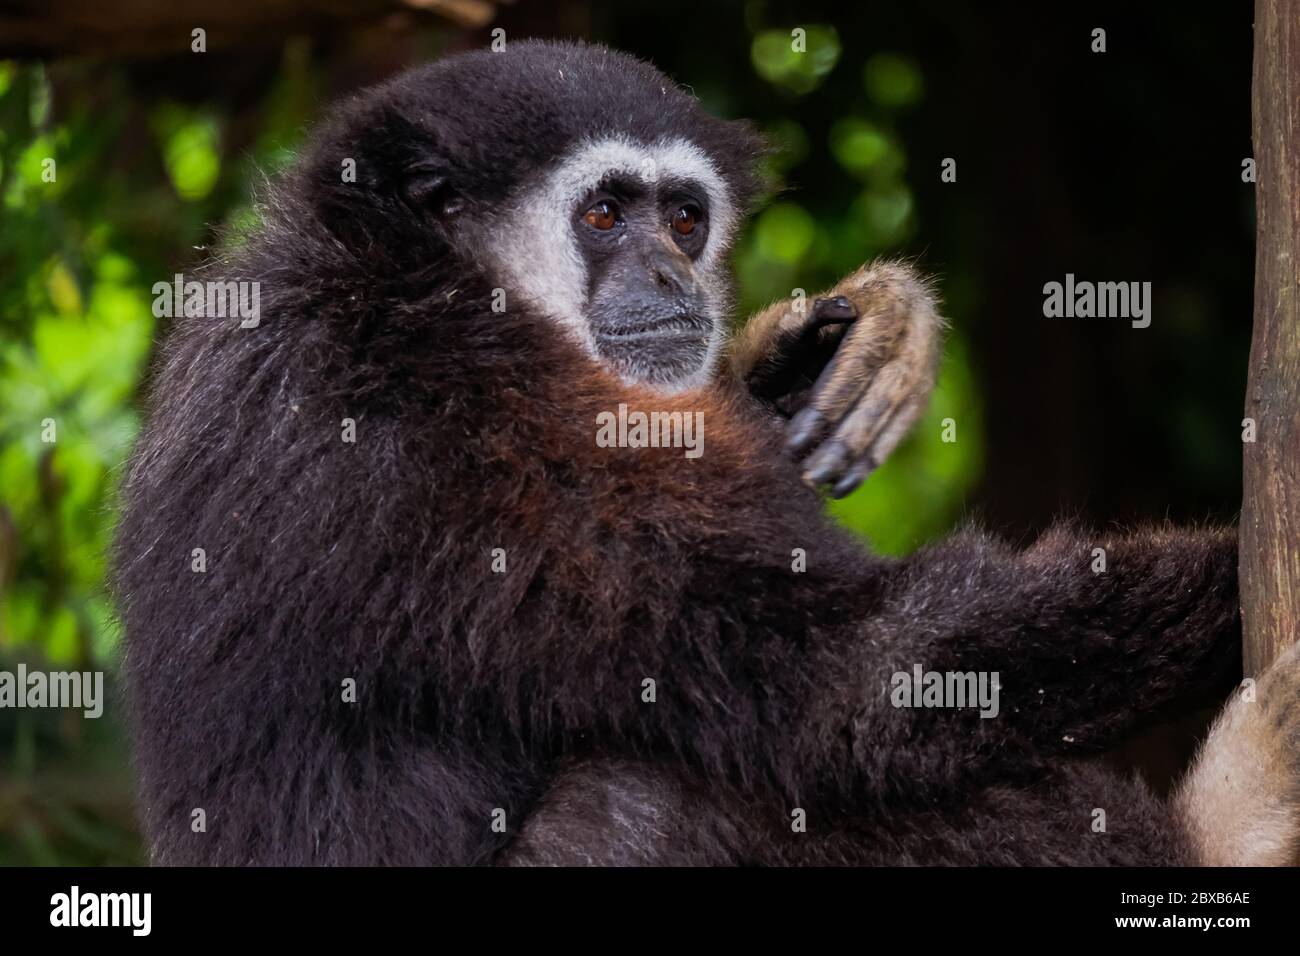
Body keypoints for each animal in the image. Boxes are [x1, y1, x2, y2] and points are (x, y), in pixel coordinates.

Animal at [113, 39, 1300, 867]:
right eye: (603, 213)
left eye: (683, 219)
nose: (672, 277)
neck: (399, 269)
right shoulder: (460, 414)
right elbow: (850, 684)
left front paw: (844, 337)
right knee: (659, 789)